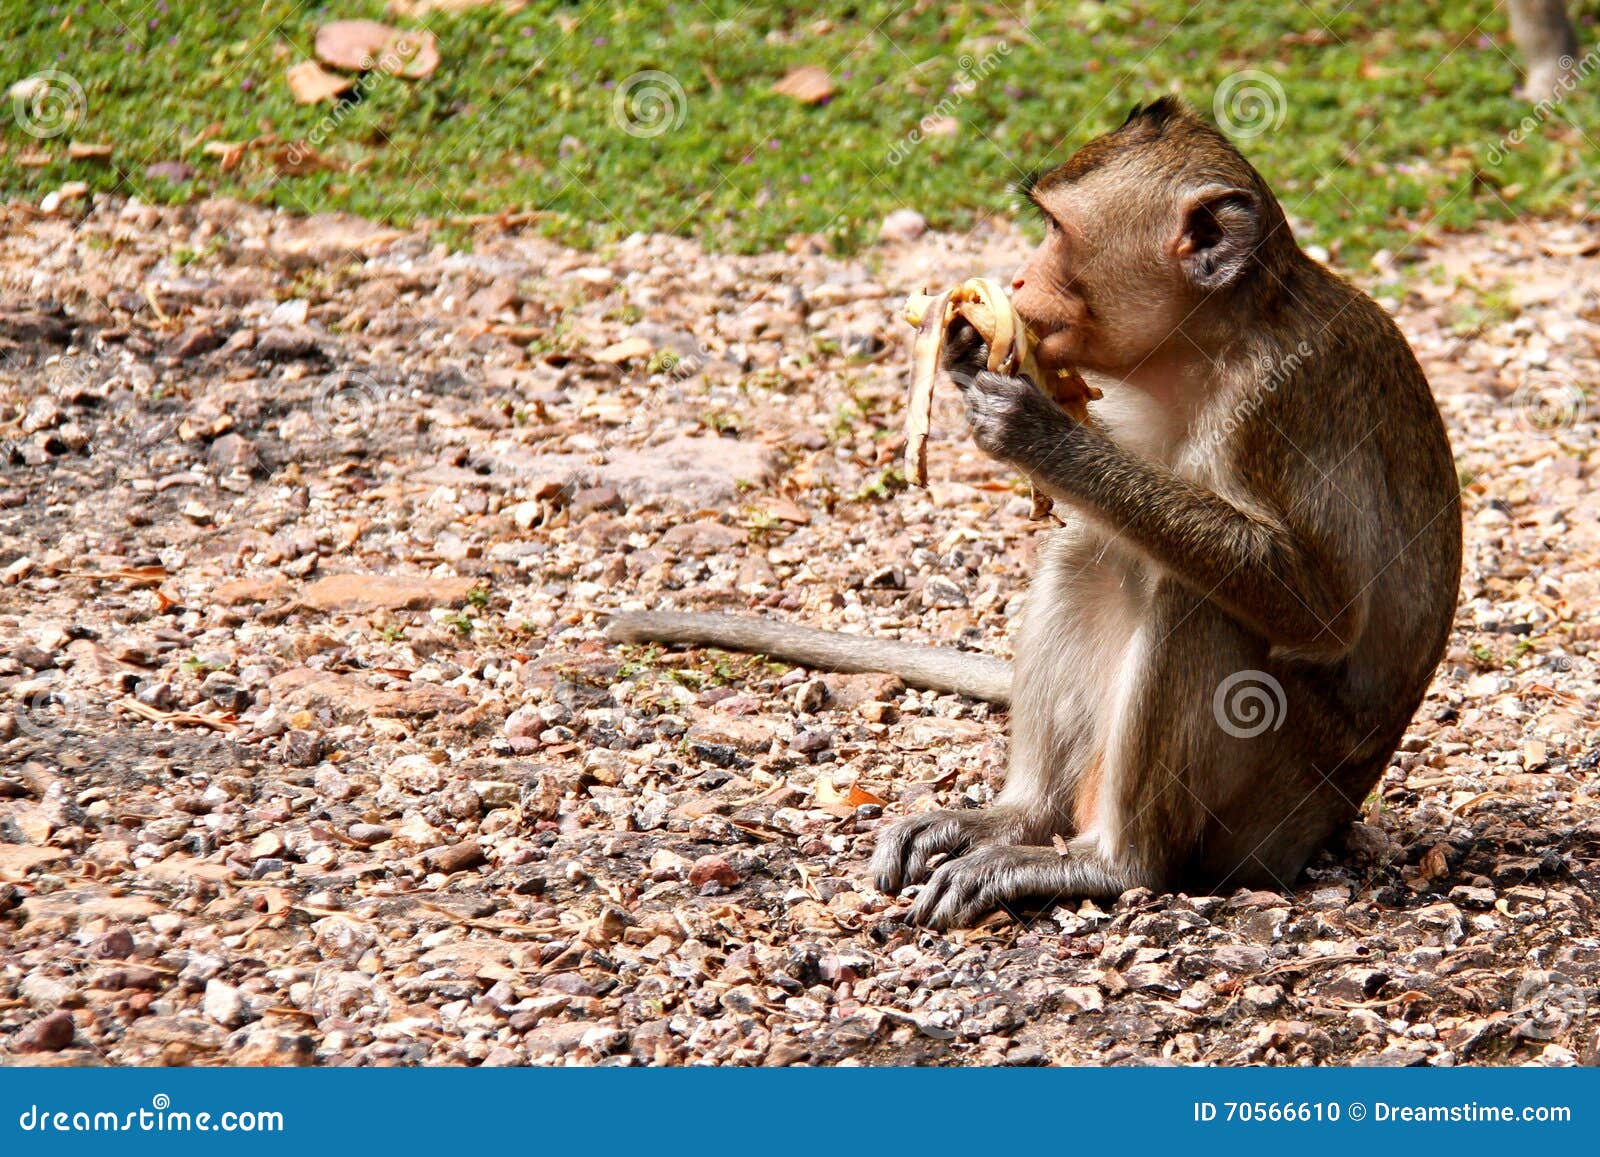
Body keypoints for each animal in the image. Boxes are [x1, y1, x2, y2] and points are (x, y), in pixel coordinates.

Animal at [609, 97, 1462, 929]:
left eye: (1055, 228)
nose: (1017, 281)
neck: (1213, 340)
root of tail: (1315, 826)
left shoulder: (1272, 401)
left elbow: (1323, 610)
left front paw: (1038, 433)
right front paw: (964, 352)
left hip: (1266, 809)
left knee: (1196, 601)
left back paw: (1111, 863)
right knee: (1087, 555)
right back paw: (1018, 818)